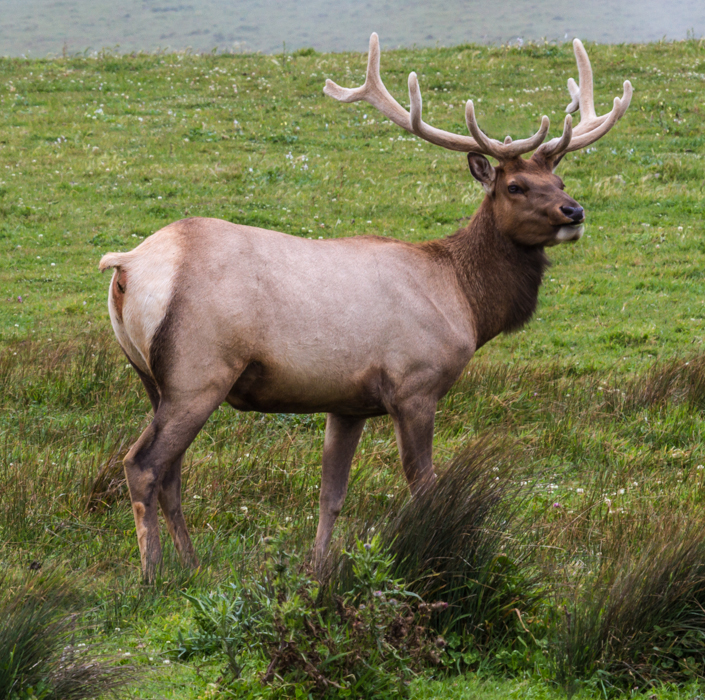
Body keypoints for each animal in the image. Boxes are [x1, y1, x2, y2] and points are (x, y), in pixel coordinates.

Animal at [99, 34, 632, 582]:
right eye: (515, 186)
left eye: (561, 182)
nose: (575, 212)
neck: (462, 298)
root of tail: (127, 266)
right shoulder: (414, 384)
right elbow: (425, 490)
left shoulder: (347, 402)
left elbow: (331, 494)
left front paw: (318, 567)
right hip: (199, 371)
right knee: (143, 464)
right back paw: (152, 575)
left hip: (153, 378)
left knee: (171, 471)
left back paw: (192, 565)